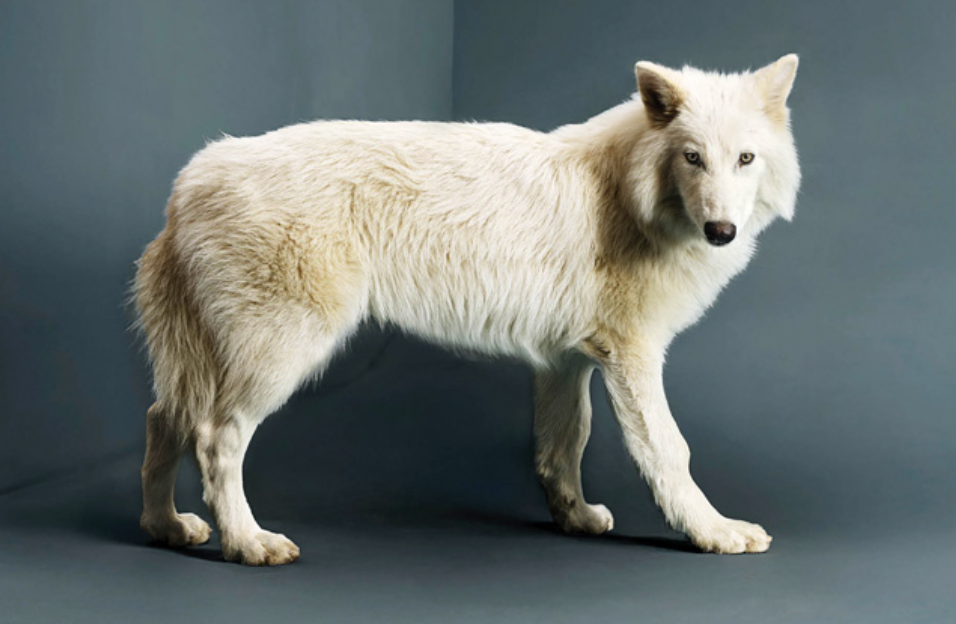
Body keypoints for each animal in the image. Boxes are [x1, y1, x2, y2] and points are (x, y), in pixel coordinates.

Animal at [134, 55, 800, 565]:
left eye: (745, 159)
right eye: (692, 157)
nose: (721, 231)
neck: (628, 195)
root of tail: (188, 182)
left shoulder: (566, 363)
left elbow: (564, 446)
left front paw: (576, 519)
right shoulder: (632, 356)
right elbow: (670, 450)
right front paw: (715, 533)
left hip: (205, 362)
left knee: (162, 419)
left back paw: (166, 528)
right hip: (280, 356)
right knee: (214, 438)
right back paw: (248, 543)